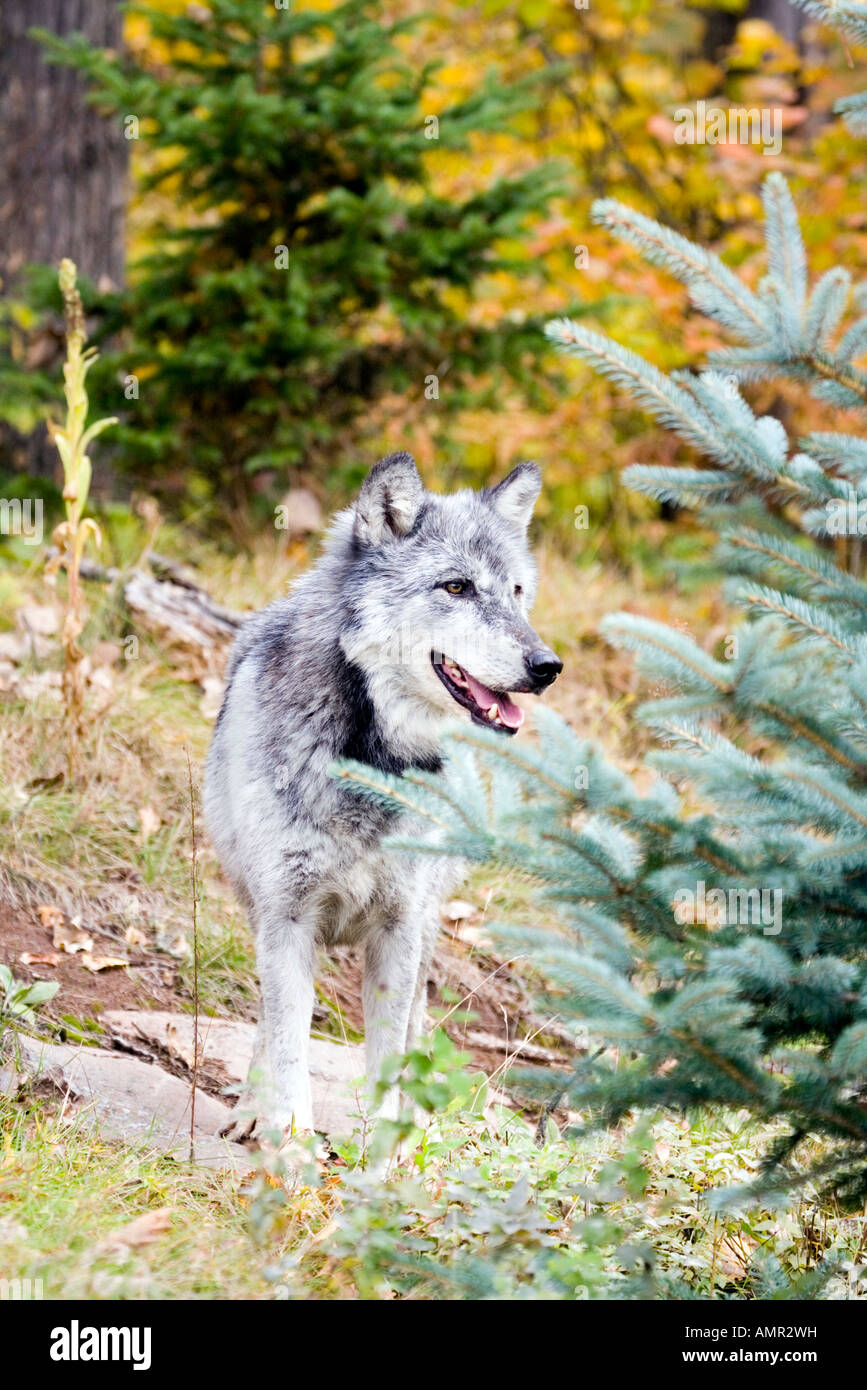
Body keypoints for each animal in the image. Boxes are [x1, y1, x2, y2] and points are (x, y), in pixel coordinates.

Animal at [204, 452, 562, 1141]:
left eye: (516, 593)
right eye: (457, 588)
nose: (547, 665)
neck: (373, 765)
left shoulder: (398, 928)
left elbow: (388, 1065)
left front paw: (383, 1155)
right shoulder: (286, 918)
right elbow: (287, 1050)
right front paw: (289, 1147)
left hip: (424, 925)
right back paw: (249, 1113)